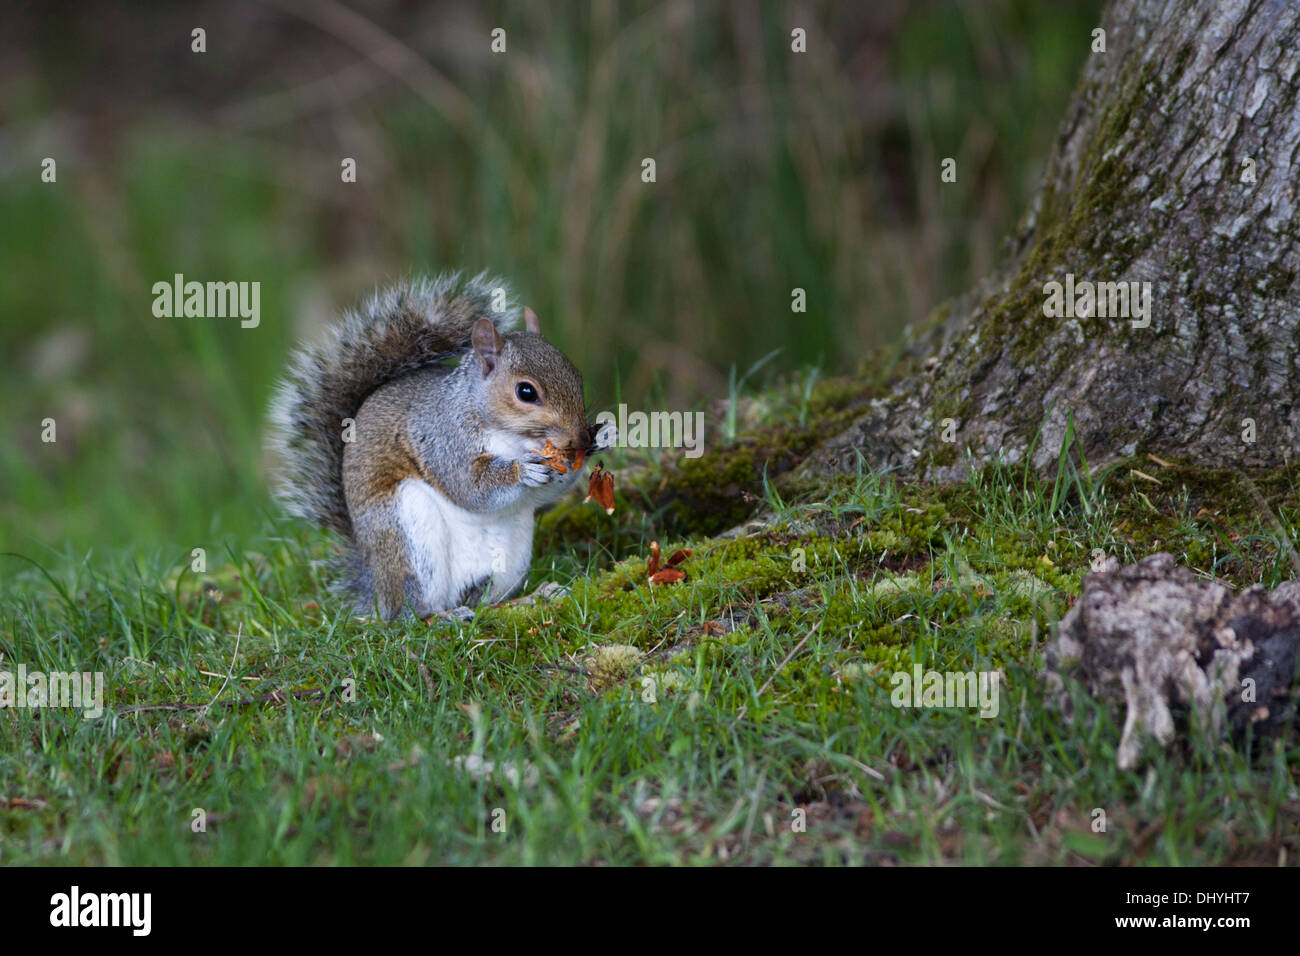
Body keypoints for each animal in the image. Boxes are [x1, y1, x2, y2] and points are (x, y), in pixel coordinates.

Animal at [267, 272, 614, 621]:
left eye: (577, 376)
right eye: (526, 391)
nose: (579, 439)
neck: (513, 438)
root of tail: (374, 588)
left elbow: (547, 491)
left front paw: (601, 437)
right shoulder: (443, 439)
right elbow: (468, 486)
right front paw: (521, 470)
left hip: (508, 561)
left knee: (485, 601)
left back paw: (532, 597)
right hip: (407, 537)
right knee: (409, 615)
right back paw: (443, 617)